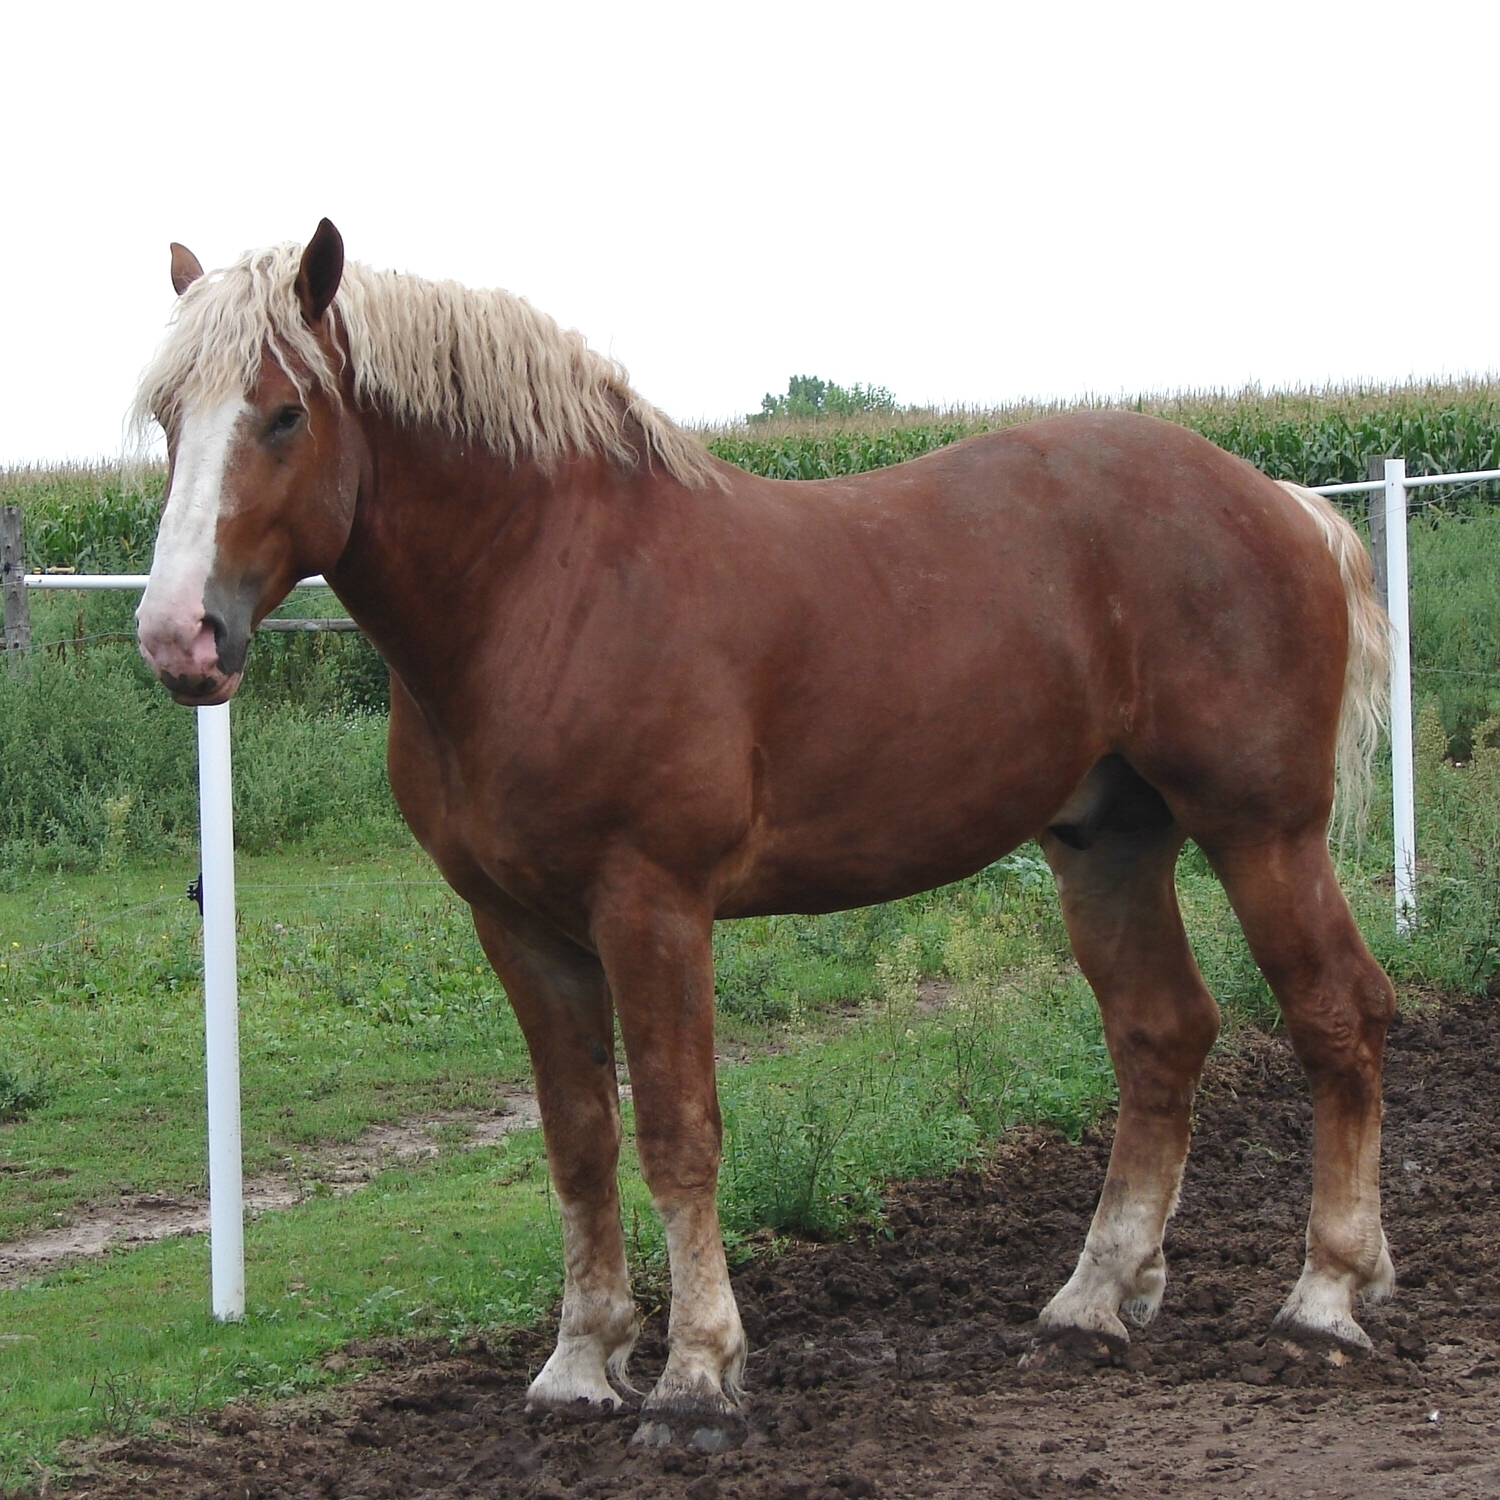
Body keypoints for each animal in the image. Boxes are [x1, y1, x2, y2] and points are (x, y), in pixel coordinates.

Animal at [134, 220, 1397, 1442]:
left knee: (1338, 1018)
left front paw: (696, 1379)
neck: (550, 587)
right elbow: (578, 1139)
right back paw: (1093, 1302)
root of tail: (1284, 501)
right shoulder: (520, 926)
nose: (178, 636)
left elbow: (678, 1131)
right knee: (1161, 1035)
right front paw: (579, 1366)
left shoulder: (651, 905)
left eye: (286, 411)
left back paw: (1325, 1300)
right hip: (1110, 845)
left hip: (1263, 834)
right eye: (166, 417)